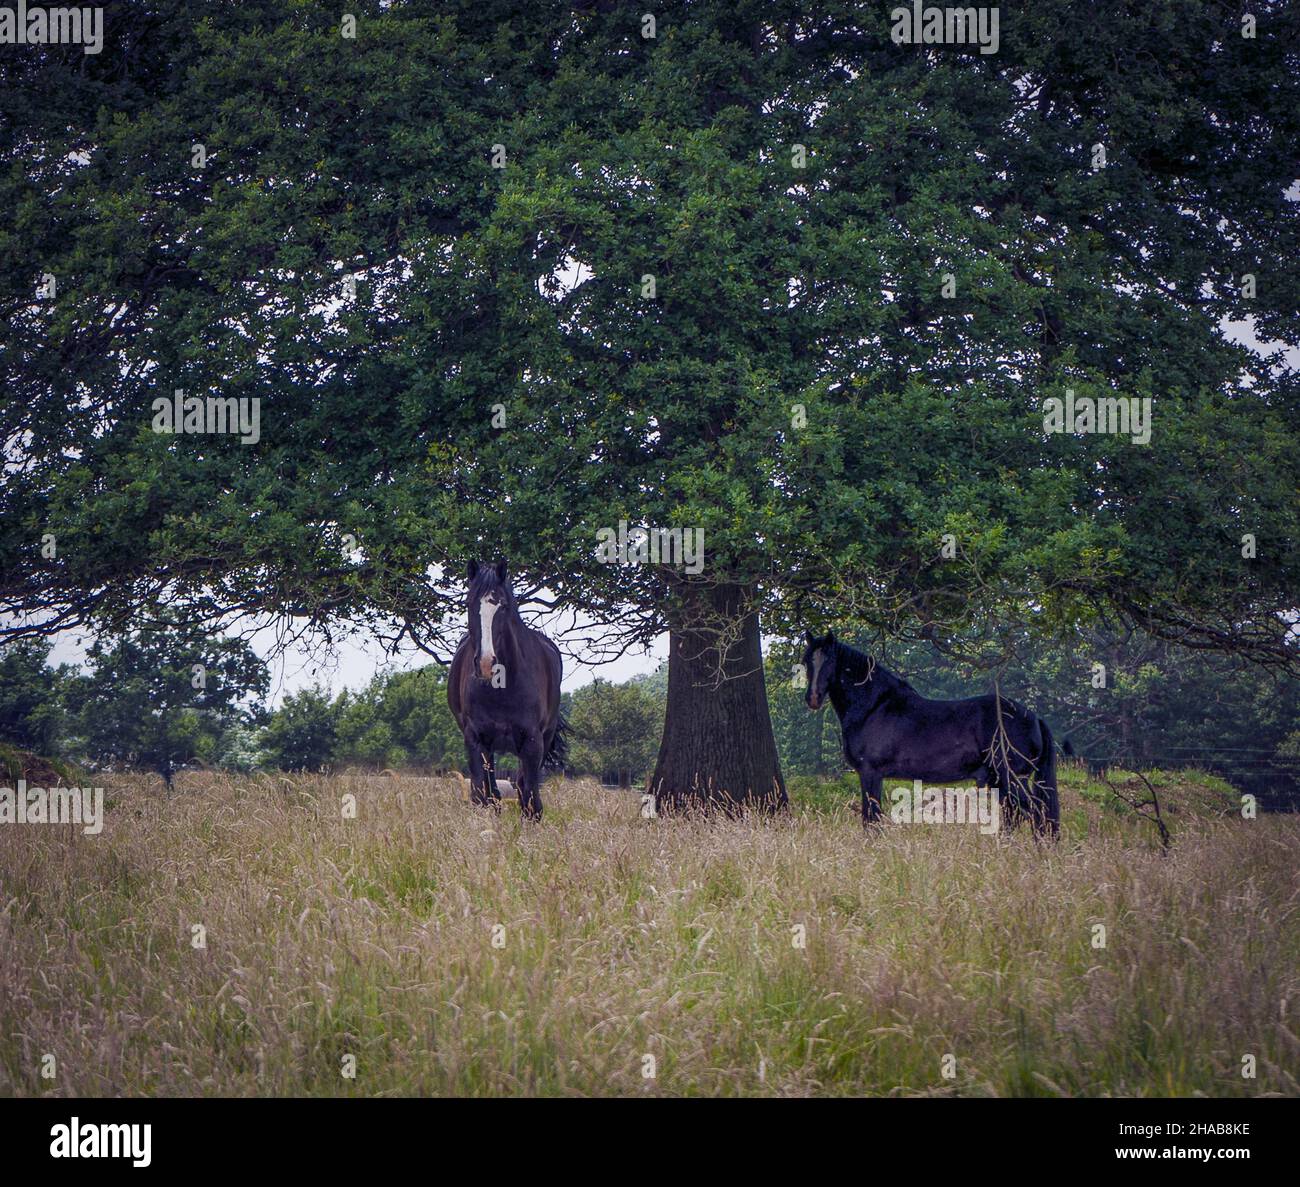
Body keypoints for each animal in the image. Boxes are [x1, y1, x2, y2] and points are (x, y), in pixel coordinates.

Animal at [447, 559, 567, 821]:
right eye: (469, 603)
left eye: (502, 606)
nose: (485, 664)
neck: (503, 687)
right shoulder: (476, 739)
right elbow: (481, 795)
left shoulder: (532, 741)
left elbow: (531, 799)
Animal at [801, 631, 1061, 839]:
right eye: (806, 661)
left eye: (830, 660)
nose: (813, 698)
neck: (874, 706)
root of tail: (1033, 717)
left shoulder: (870, 773)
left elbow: (871, 819)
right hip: (1000, 781)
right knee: (1018, 815)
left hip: (1012, 778)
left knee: (1032, 812)